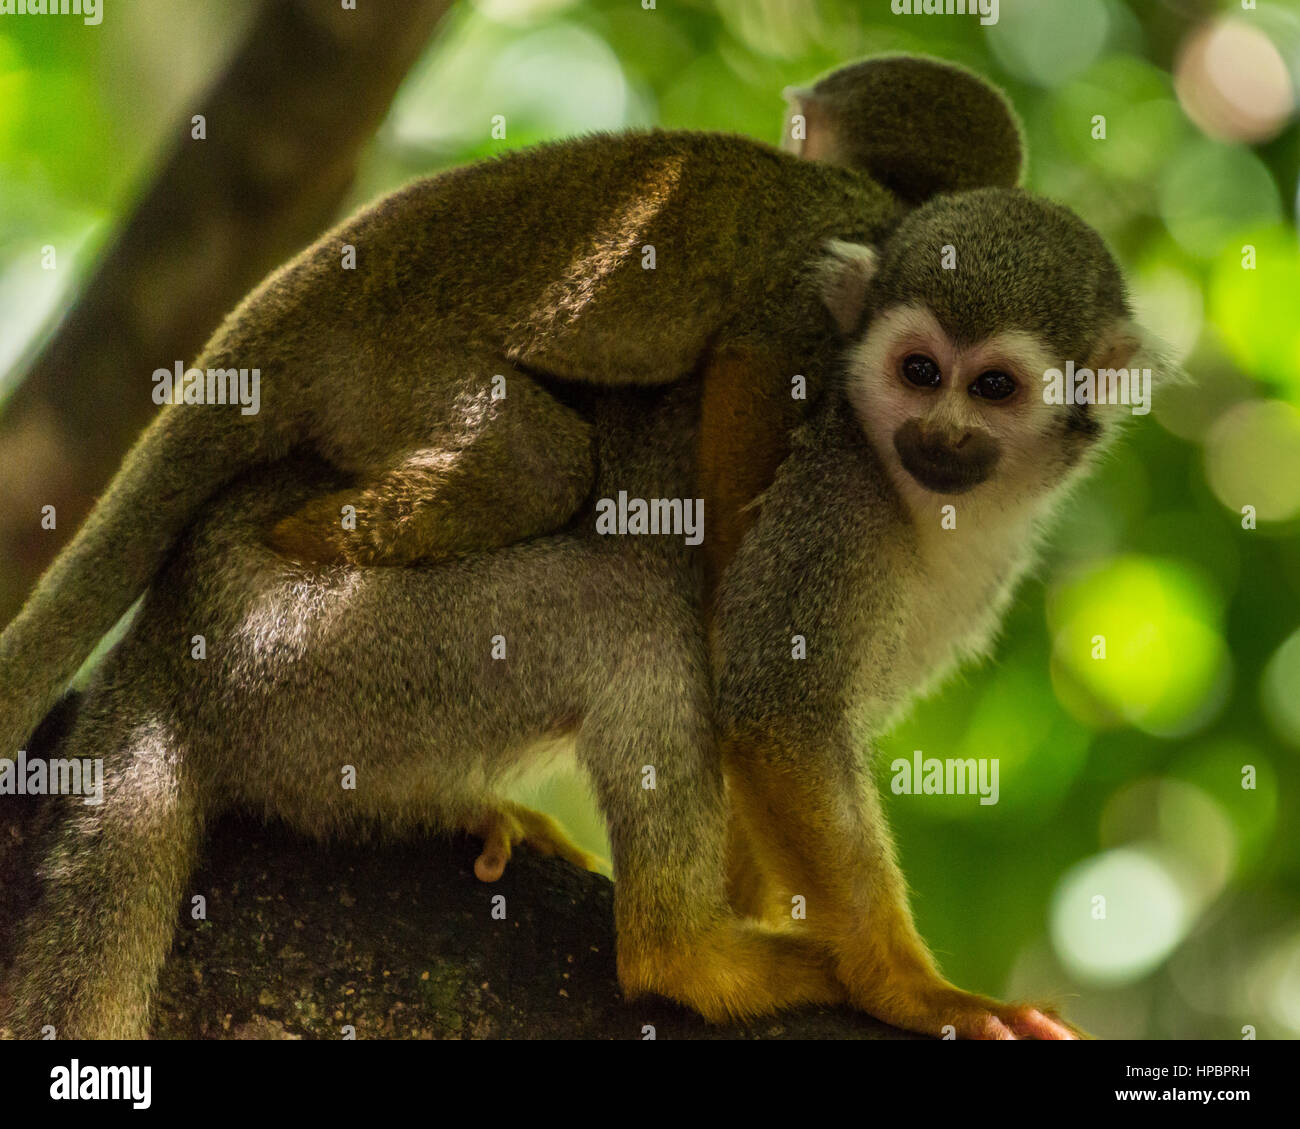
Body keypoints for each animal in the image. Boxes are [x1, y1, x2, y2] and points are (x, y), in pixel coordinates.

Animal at [0, 54, 1026, 766]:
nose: (792, 133)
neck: (882, 206)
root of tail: (283, 307)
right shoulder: (817, 295)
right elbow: (750, 355)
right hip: (386, 368)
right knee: (543, 466)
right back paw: (312, 532)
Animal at [2, 184, 1174, 1039]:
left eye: (994, 390)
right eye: (920, 371)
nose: (939, 437)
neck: (930, 509)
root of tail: (165, 637)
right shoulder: (832, 497)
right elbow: (769, 704)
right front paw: (917, 992)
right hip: (303, 651)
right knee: (635, 620)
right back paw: (685, 957)